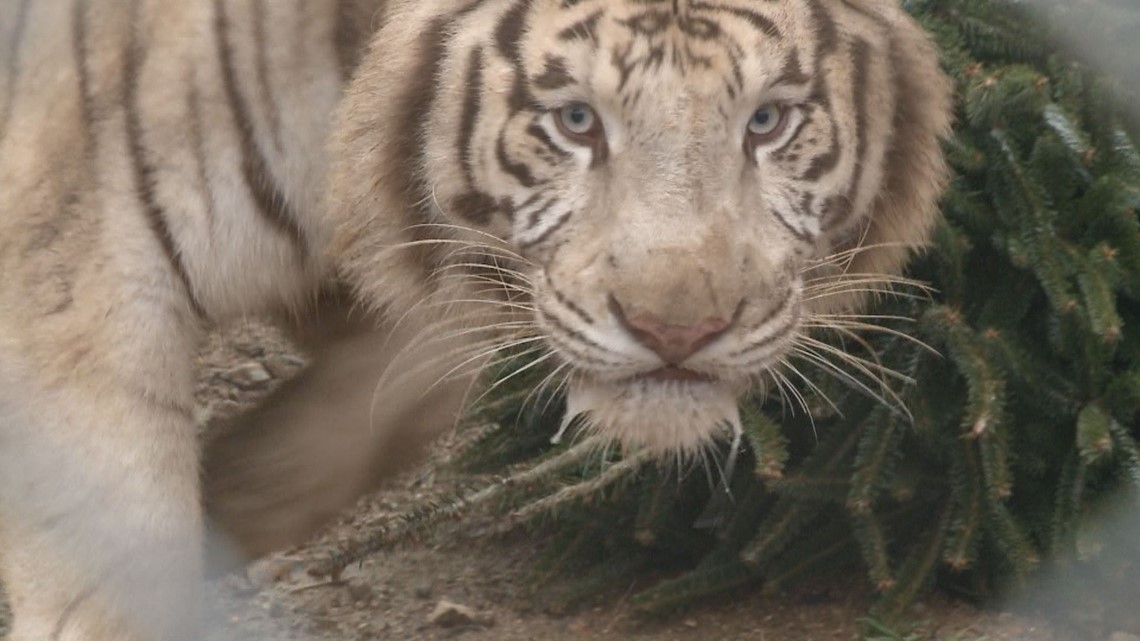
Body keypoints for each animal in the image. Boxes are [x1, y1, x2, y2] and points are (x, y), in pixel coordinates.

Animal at [0, 0, 953, 639]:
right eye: (576, 120)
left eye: (767, 120)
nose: (677, 334)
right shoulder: (78, 262)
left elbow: (394, 396)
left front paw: (229, 495)